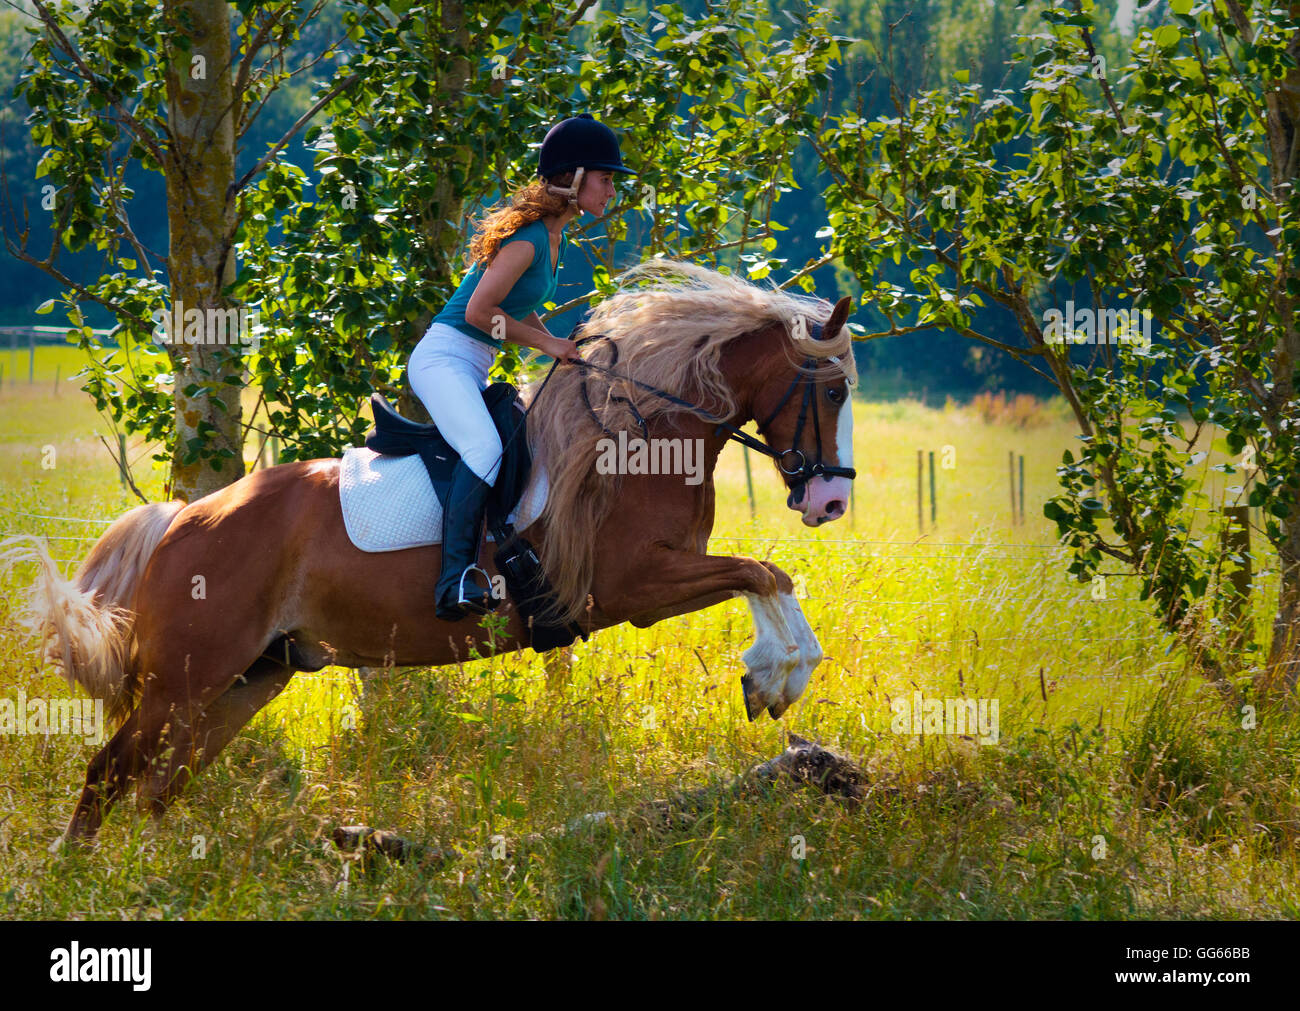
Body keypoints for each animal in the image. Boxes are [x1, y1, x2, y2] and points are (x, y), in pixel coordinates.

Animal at [2, 260, 858, 845]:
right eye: (834, 390)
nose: (831, 501)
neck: (639, 434)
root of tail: (181, 521)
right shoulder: (631, 586)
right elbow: (764, 571)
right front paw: (776, 675)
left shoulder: (649, 584)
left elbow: (764, 574)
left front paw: (775, 675)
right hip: (187, 678)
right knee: (110, 772)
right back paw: (80, 874)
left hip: (250, 676)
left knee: (160, 783)